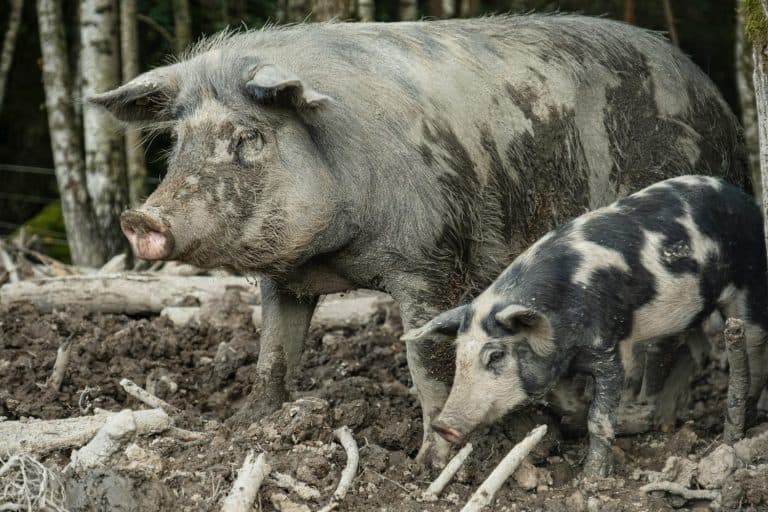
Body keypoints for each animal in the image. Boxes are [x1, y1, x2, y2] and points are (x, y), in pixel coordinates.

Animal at [403, 176, 768, 476]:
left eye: (495, 356)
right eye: (457, 355)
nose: (444, 425)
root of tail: (746, 199)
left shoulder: (610, 348)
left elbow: (600, 417)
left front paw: (592, 477)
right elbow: (567, 402)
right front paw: (574, 421)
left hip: (750, 284)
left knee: (753, 351)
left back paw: (742, 421)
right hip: (688, 312)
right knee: (694, 349)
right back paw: (662, 420)